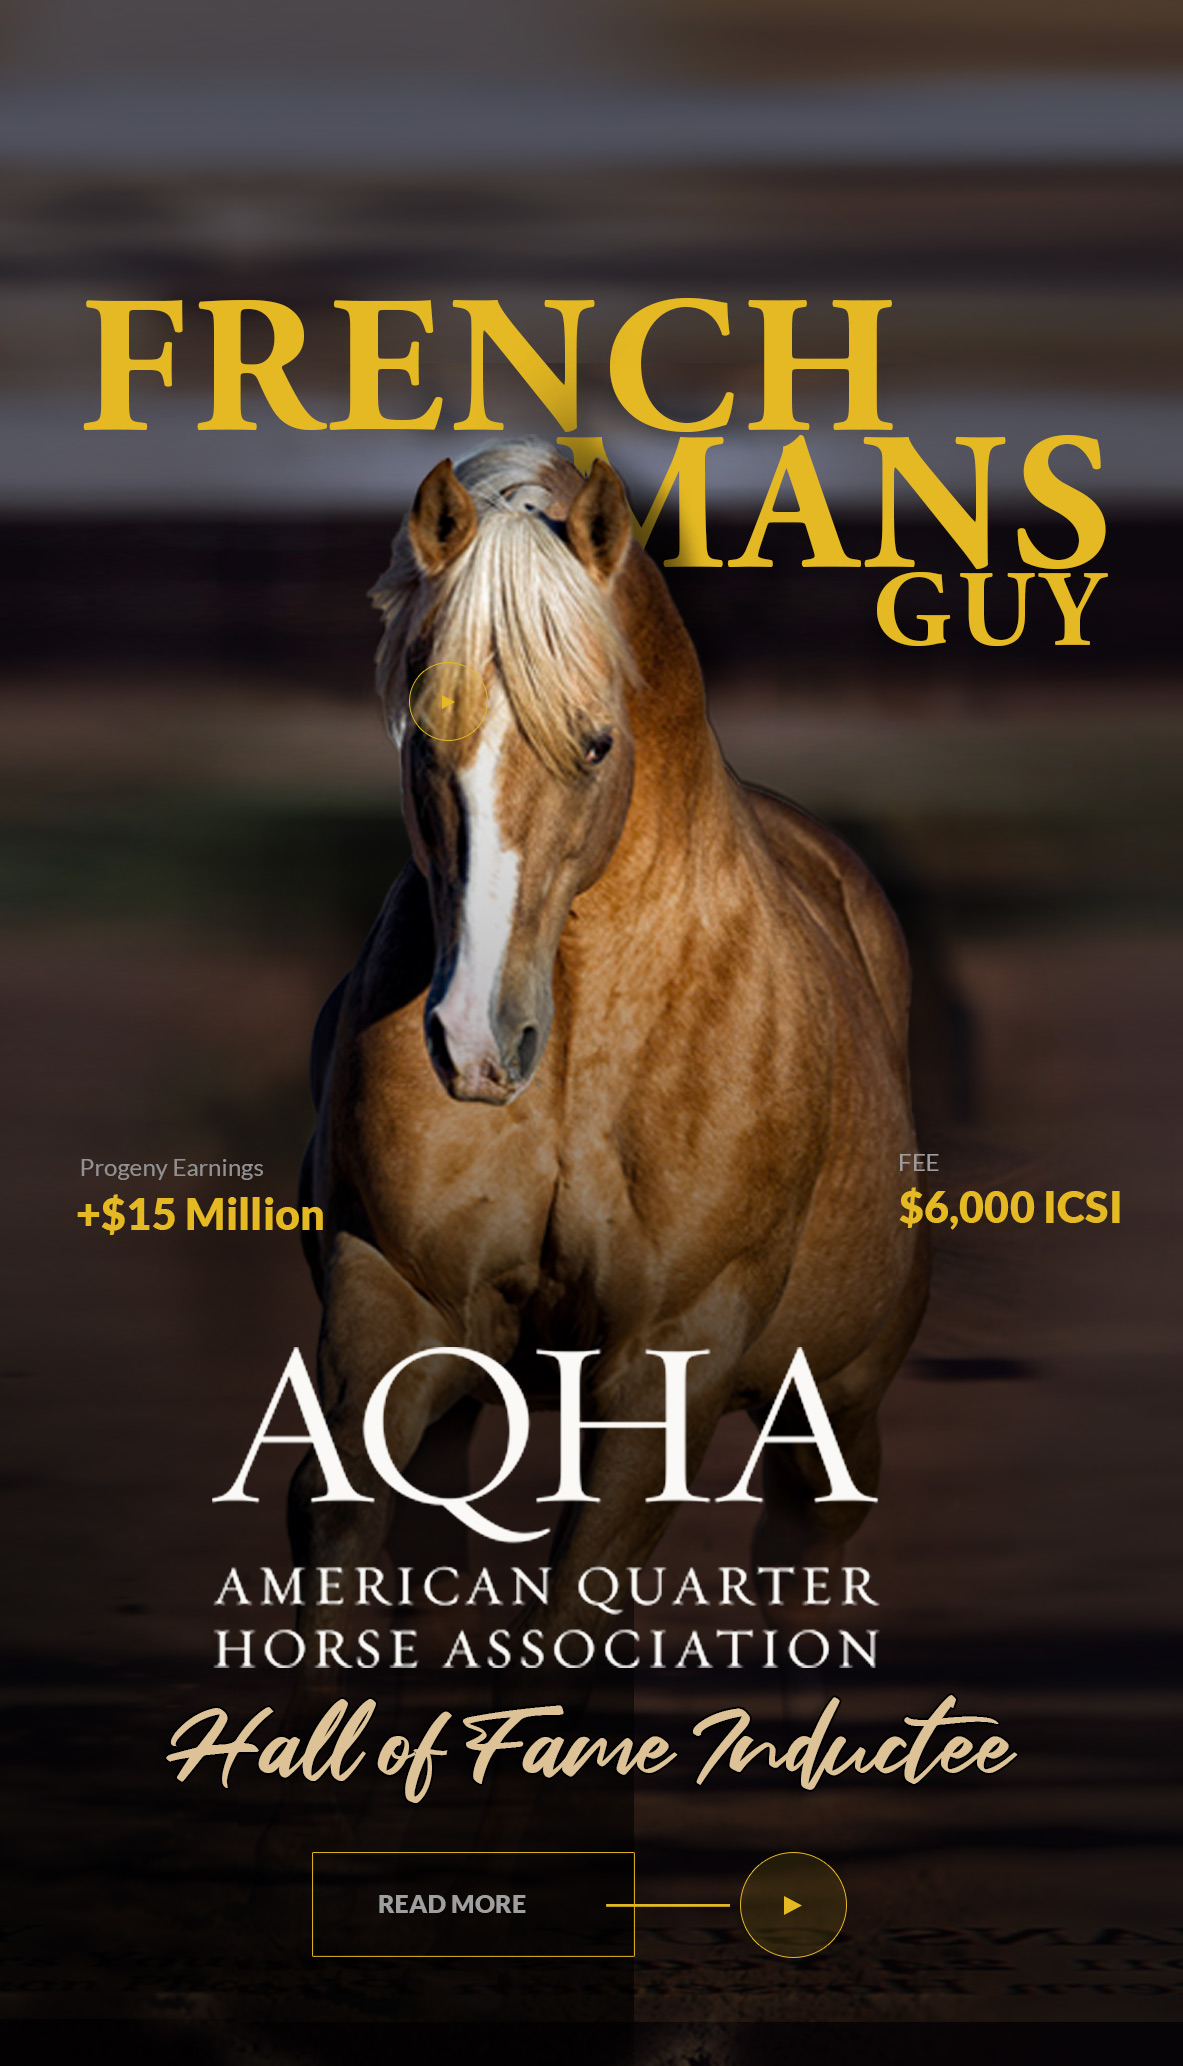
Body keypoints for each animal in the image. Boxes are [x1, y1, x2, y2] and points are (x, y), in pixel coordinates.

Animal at [290, 438, 928, 1657]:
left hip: (837, 1415)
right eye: (421, 733)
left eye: (593, 741)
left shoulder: (671, 1358)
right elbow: (341, 1541)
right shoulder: (395, 1302)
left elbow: (573, 1605)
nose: (473, 1041)